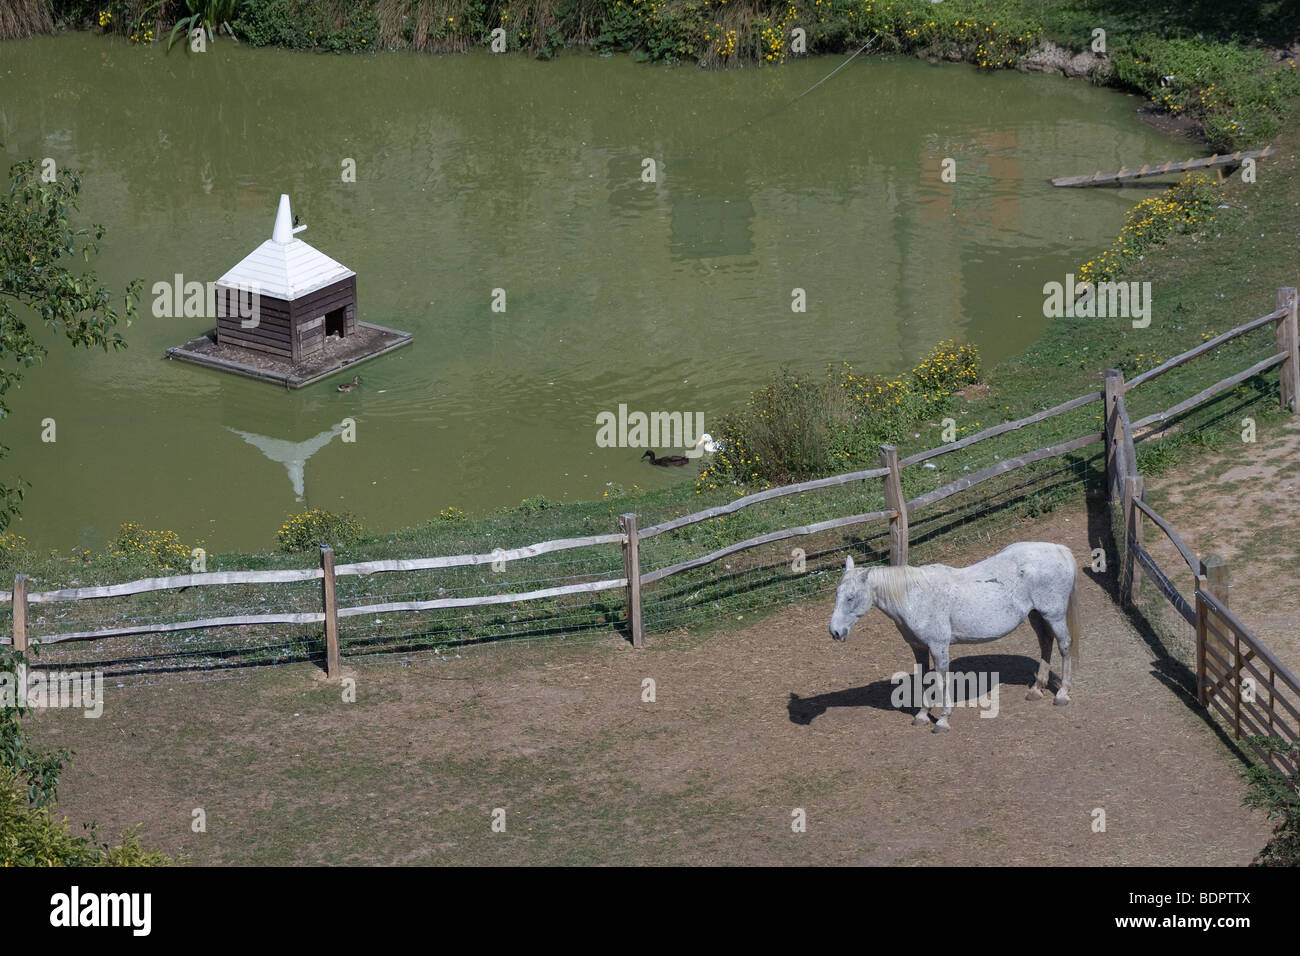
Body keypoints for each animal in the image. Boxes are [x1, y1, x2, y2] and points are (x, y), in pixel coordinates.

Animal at [828, 542, 1081, 733]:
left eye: (851, 597)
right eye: (838, 594)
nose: (835, 632)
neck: (915, 597)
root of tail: (1060, 549)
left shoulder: (938, 646)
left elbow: (940, 680)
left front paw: (942, 720)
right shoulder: (919, 647)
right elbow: (924, 678)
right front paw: (921, 715)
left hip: (1054, 615)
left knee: (1064, 646)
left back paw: (1062, 694)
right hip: (1036, 615)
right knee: (1045, 643)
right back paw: (1037, 689)